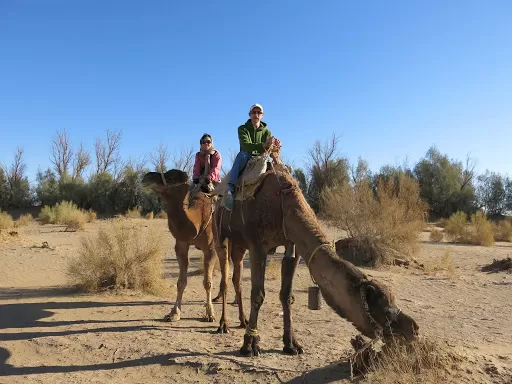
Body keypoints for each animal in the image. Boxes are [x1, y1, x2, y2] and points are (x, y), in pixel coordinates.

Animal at [214, 164, 418, 356]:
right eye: (386, 311)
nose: (414, 329)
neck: (285, 208)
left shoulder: (293, 247)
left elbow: (286, 295)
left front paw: (291, 344)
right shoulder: (258, 246)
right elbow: (258, 295)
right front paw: (249, 345)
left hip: (239, 244)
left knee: (237, 278)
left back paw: (242, 321)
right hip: (220, 234)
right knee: (225, 278)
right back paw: (223, 325)